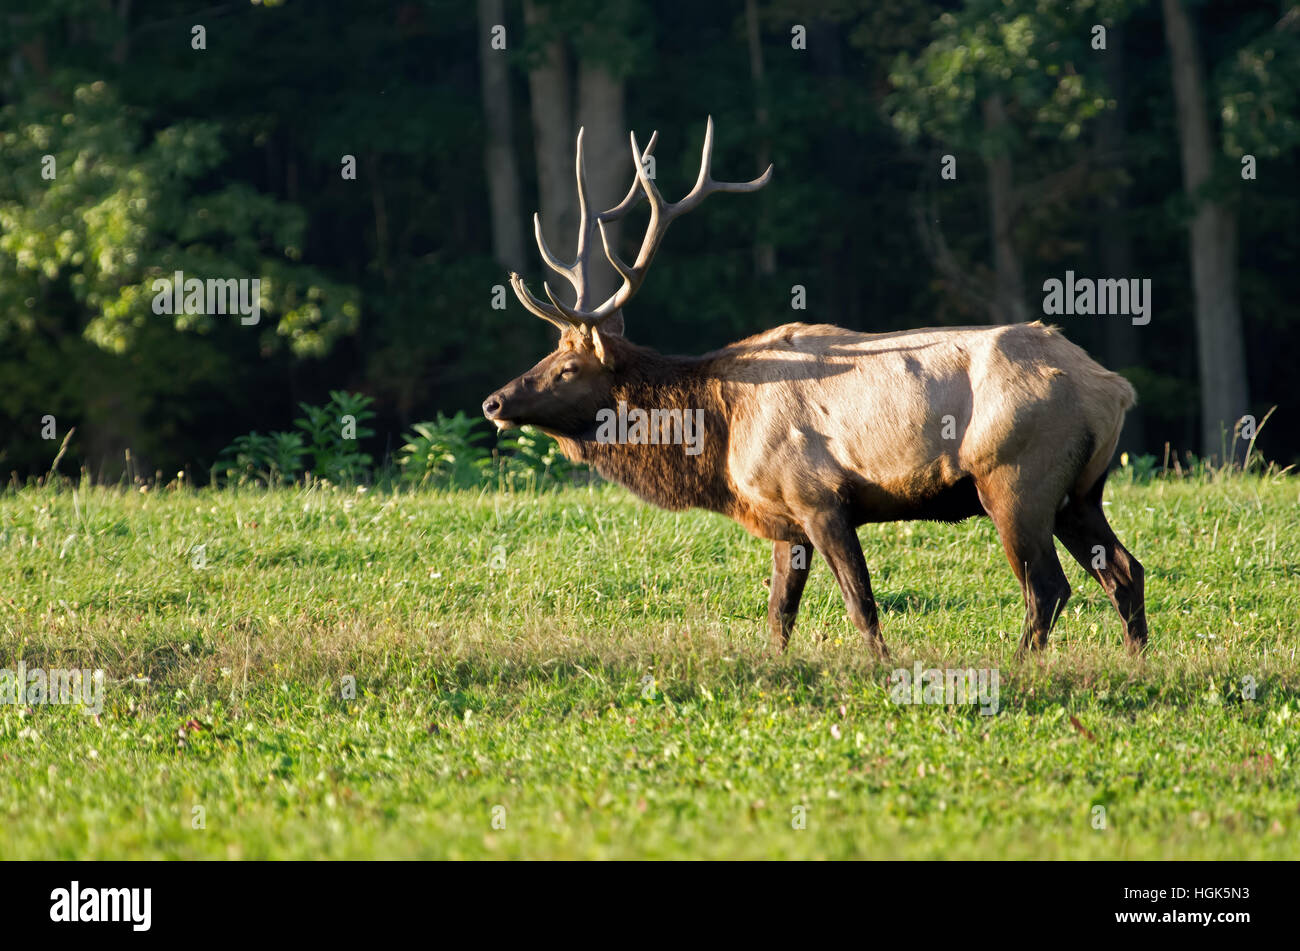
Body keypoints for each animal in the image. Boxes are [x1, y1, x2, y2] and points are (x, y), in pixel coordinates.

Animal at [482, 117, 1148, 659]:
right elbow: (779, 614)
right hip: (1079, 492)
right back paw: (1136, 660)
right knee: (1125, 571)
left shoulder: (819, 497)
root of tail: (1115, 389)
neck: (720, 437)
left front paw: (882, 668)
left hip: (1014, 477)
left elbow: (860, 603)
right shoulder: (785, 519)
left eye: (568, 369)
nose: (494, 401)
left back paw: (1019, 666)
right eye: (548, 355)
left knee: (1049, 587)